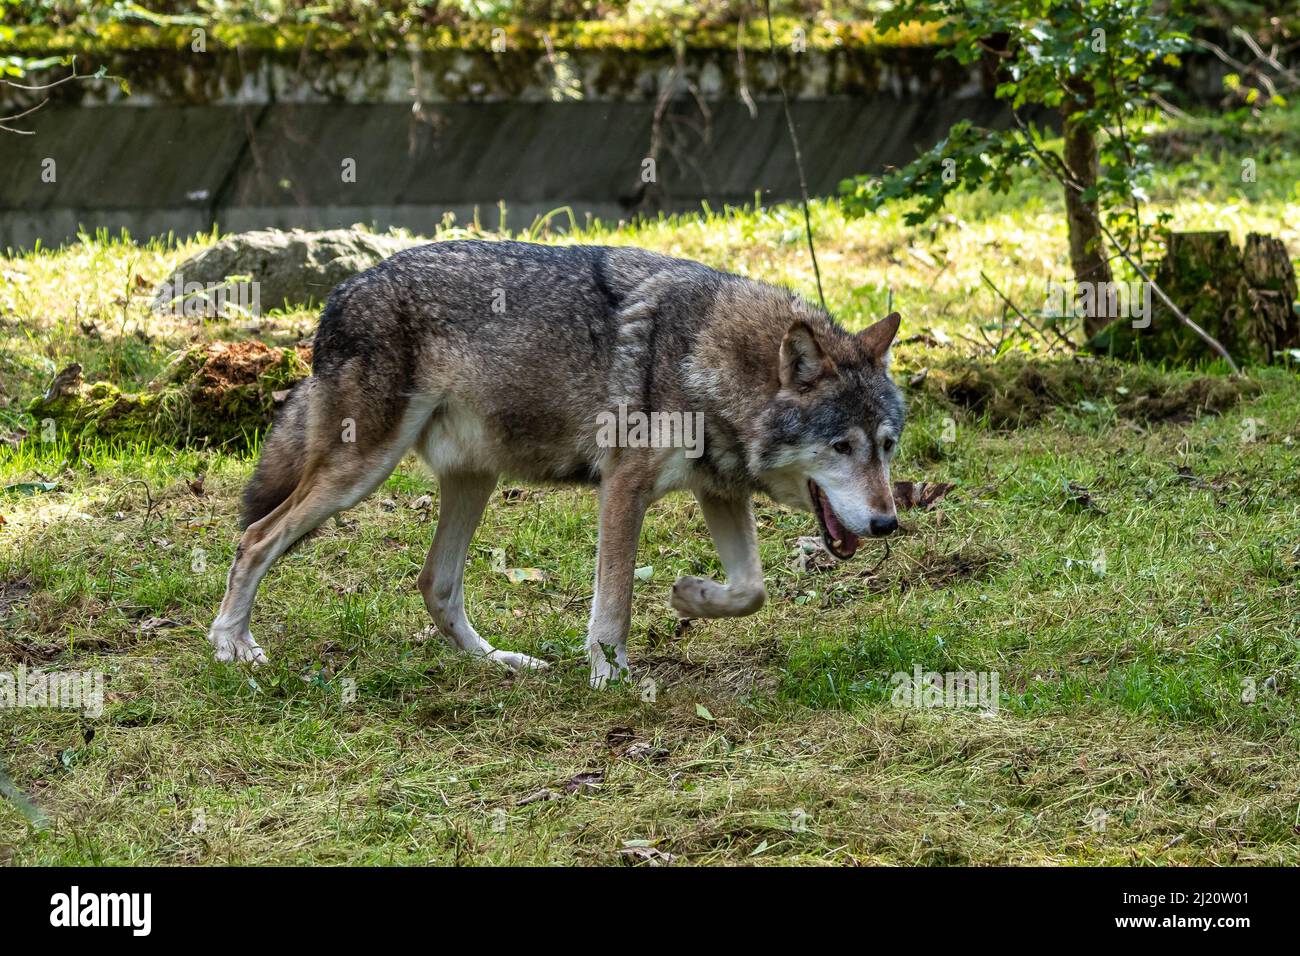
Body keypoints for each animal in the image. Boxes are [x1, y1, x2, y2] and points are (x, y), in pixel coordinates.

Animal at [207, 240, 904, 687]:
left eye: (887, 445)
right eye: (841, 446)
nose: (887, 524)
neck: (709, 360)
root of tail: (340, 291)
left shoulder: (720, 493)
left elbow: (751, 590)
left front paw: (689, 595)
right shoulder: (624, 486)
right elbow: (614, 604)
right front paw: (611, 678)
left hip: (473, 477)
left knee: (435, 583)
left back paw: (496, 662)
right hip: (360, 472)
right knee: (255, 537)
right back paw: (232, 646)